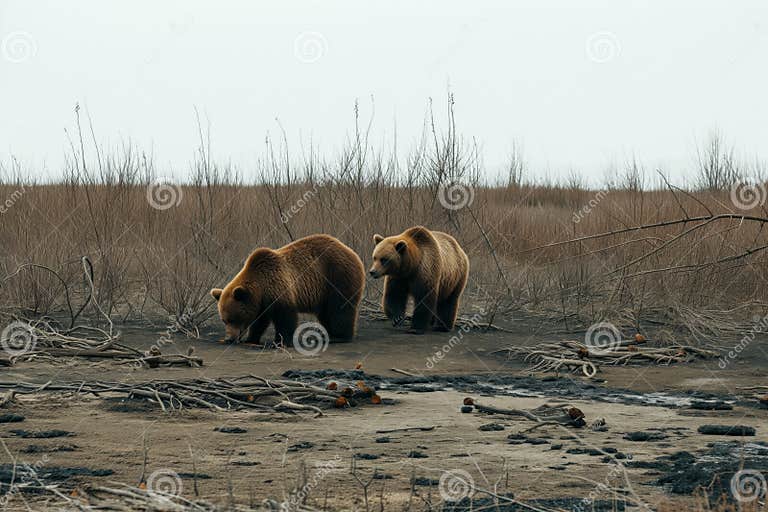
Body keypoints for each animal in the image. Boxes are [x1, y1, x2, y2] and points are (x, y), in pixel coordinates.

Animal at [210, 234, 365, 345]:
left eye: (233, 318)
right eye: (224, 320)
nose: (229, 338)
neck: (260, 287)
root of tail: (351, 251)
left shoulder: (278, 287)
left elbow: (285, 317)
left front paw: (280, 341)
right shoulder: (261, 302)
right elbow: (260, 320)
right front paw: (251, 338)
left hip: (337, 276)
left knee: (340, 308)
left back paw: (339, 337)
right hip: (325, 292)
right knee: (326, 312)